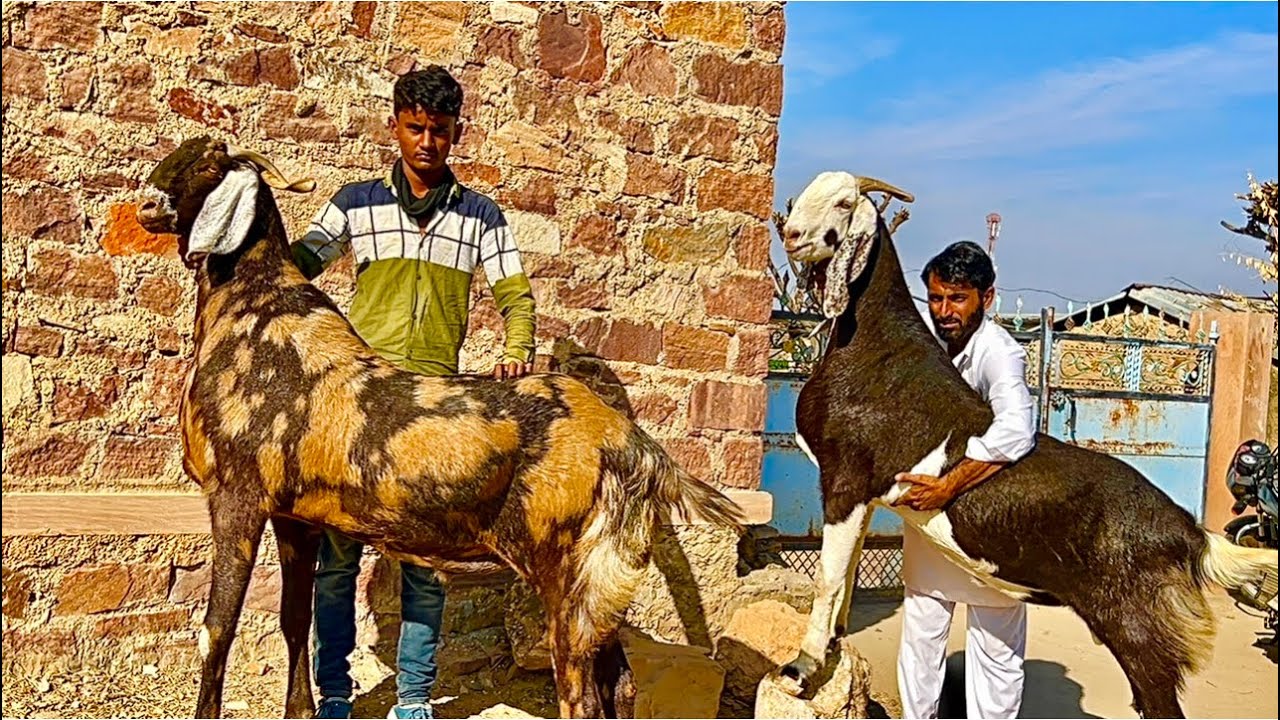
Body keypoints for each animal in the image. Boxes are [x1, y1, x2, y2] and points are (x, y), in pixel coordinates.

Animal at [134, 137, 742, 719]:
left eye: (208, 166)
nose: (145, 207)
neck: (253, 311)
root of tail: (632, 443)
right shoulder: (294, 515)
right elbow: (294, 618)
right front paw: (301, 711)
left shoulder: (236, 495)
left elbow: (217, 629)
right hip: (601, 586)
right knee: (620, 686)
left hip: (566, 578)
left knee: (584, 699)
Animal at [774, 170, 1278, 718]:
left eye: (844, 203)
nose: (792, 234)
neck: (872, 346)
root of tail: (1190, 534)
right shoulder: (863, 494)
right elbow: (843, 577)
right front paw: (833, 645)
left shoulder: (843, 480)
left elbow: (826, 578)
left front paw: (800, 670)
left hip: (1139, 627)